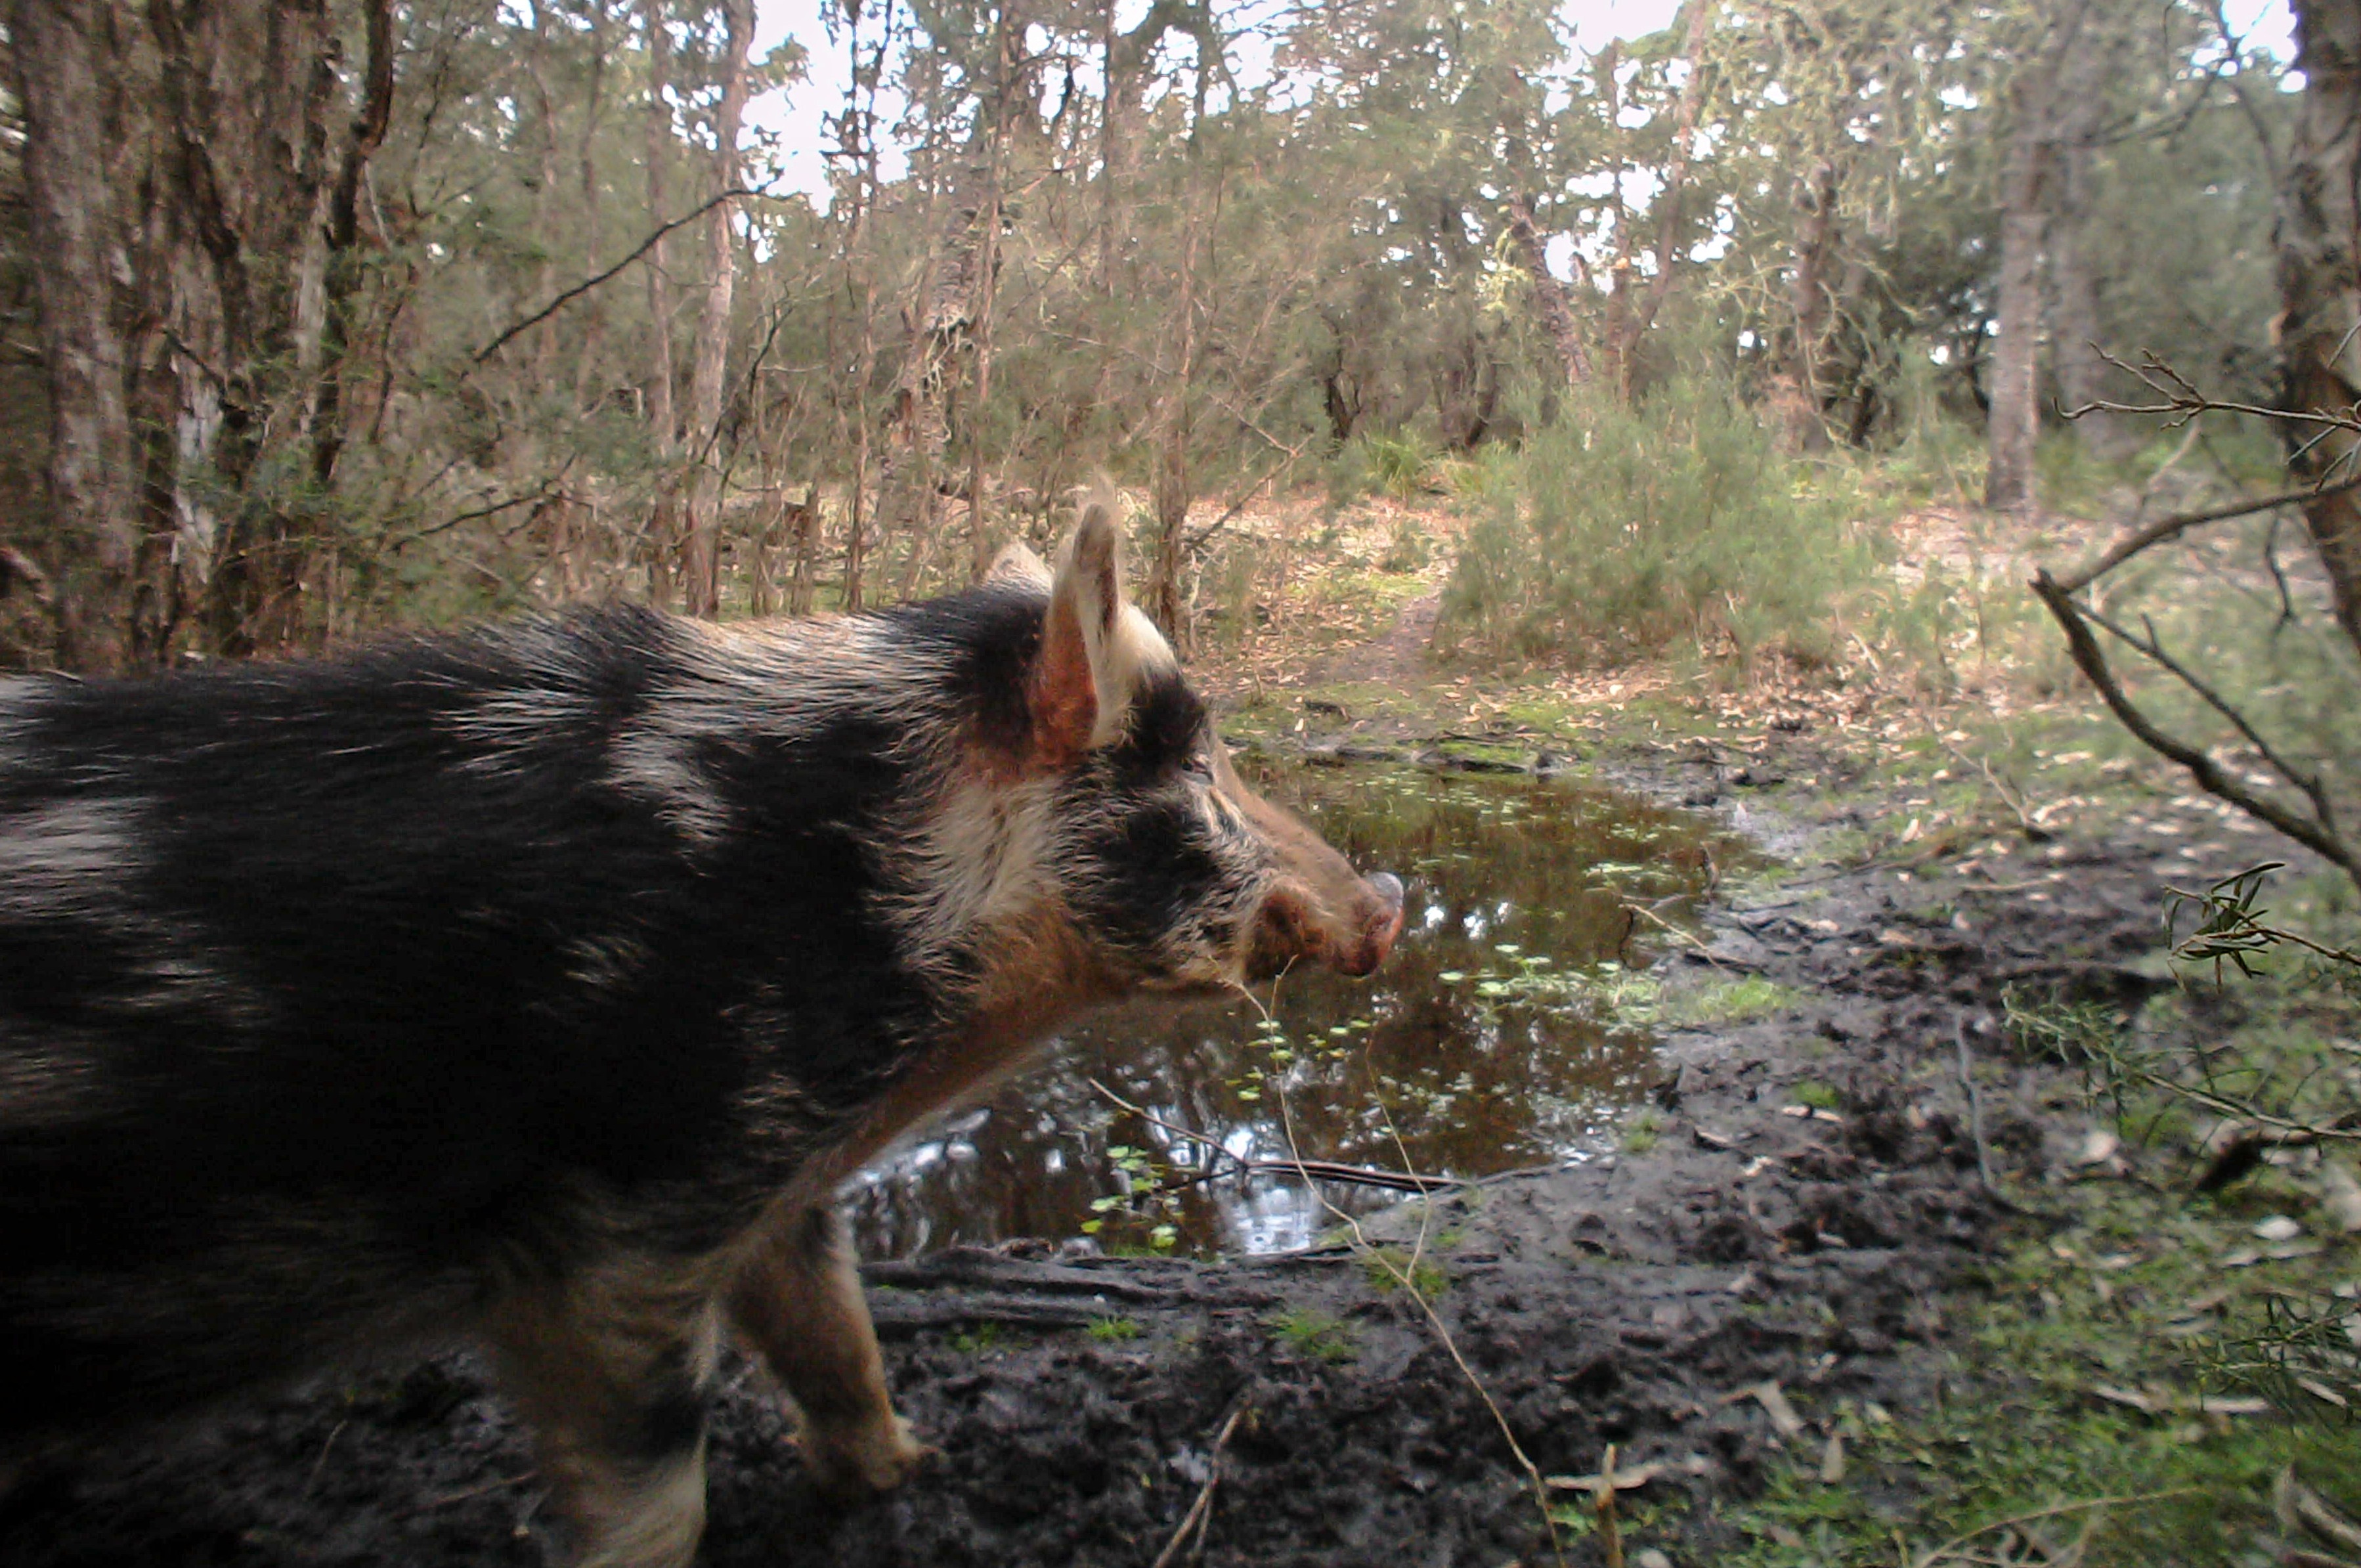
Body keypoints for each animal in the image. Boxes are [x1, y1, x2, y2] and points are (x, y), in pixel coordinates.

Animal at [0, 492, 1404, 1567]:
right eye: (1202, 766)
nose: (1388, 895)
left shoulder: (774, 1179)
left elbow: (837, 1333)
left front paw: (903, 1472)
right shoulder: (620, 1225)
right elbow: (655, 1487)